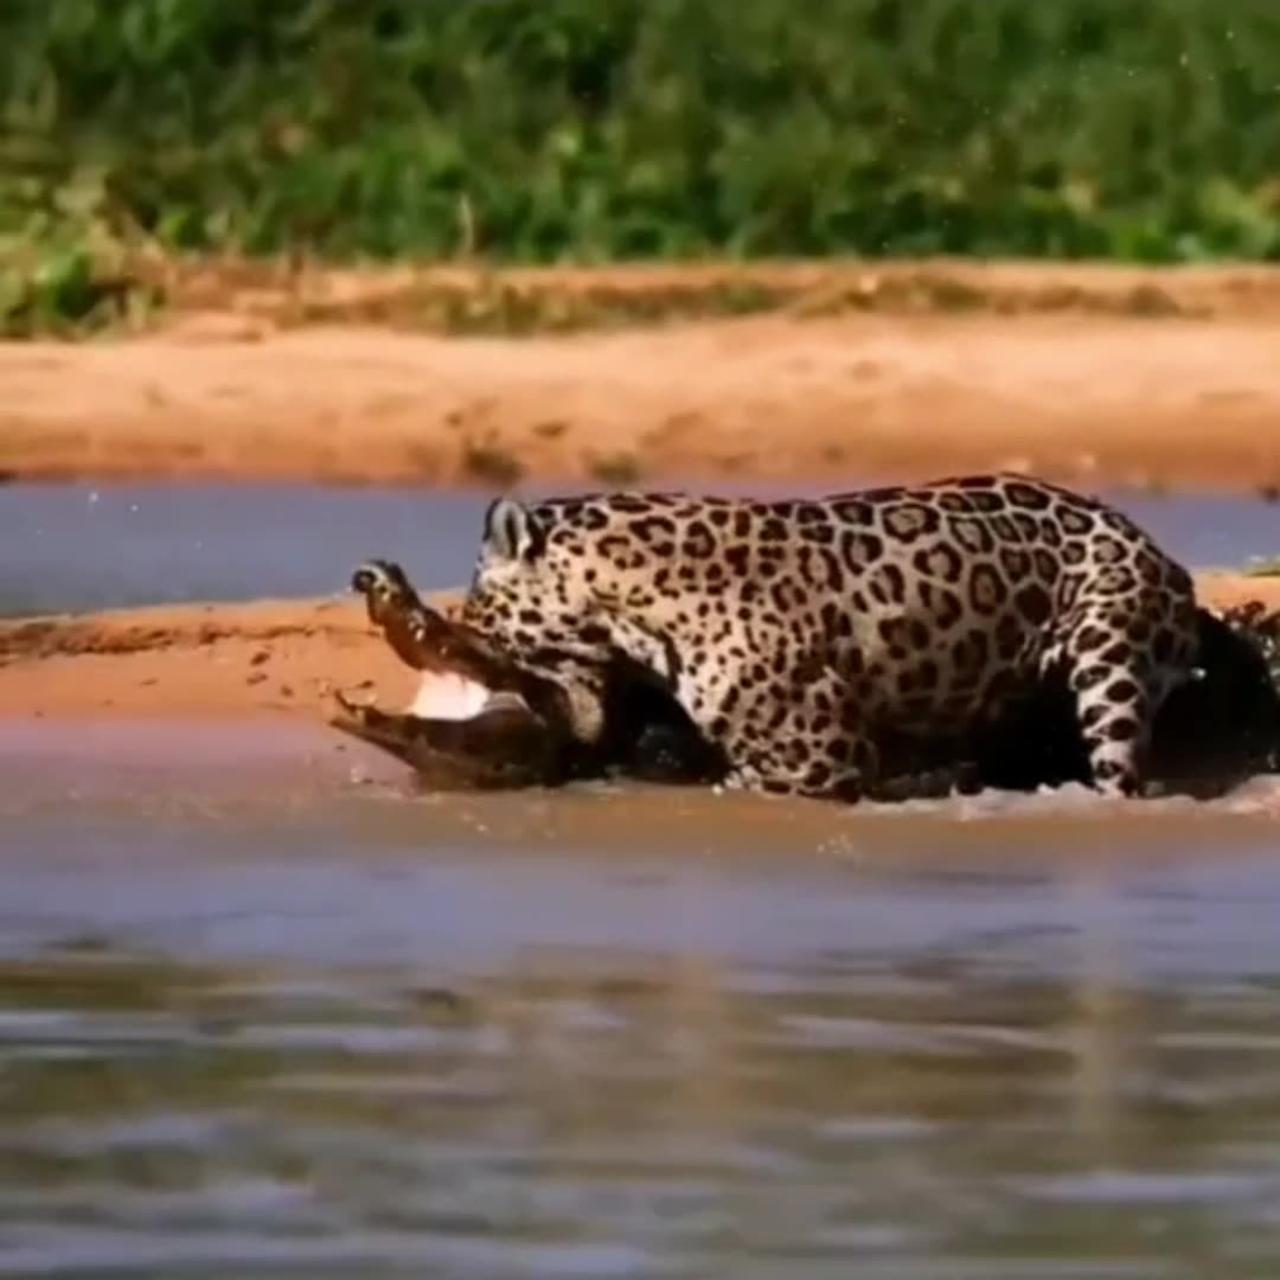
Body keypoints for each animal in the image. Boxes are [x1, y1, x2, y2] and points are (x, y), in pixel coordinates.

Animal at [456, 473, 1203, 803]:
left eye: (475, 597)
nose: (458, 624)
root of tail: (1164, 555)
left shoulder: (821, 758)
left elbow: (737, 779)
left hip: (1112, 660)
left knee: (1120, 770)